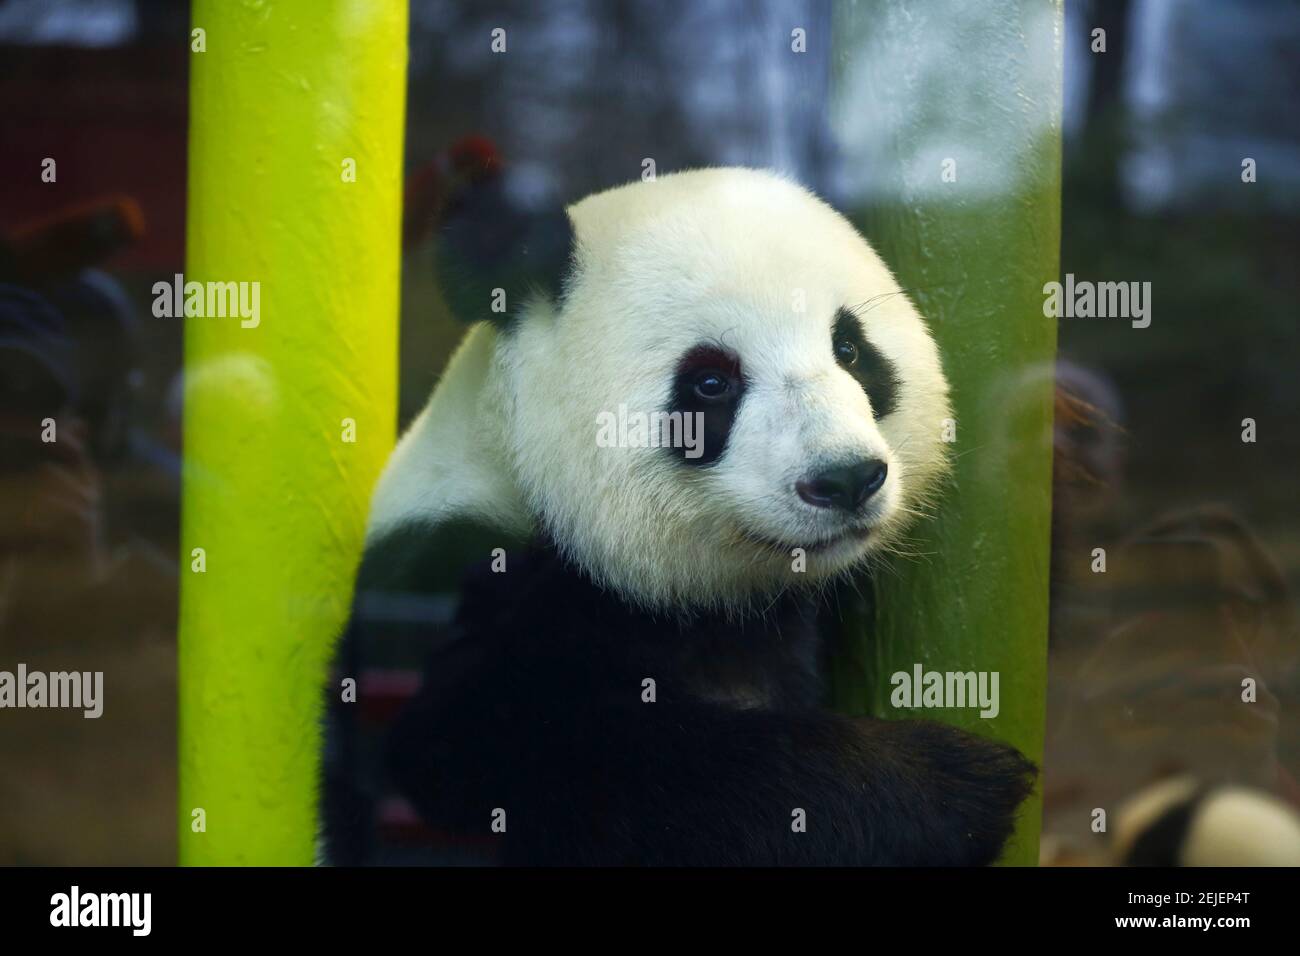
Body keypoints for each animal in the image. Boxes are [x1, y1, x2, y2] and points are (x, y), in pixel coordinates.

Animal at [323, 162, 1035, 866]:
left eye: (851, 350)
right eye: (711, 382)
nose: (846, 480)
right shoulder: (460, 593)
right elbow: (585, 768)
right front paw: (956, 783)